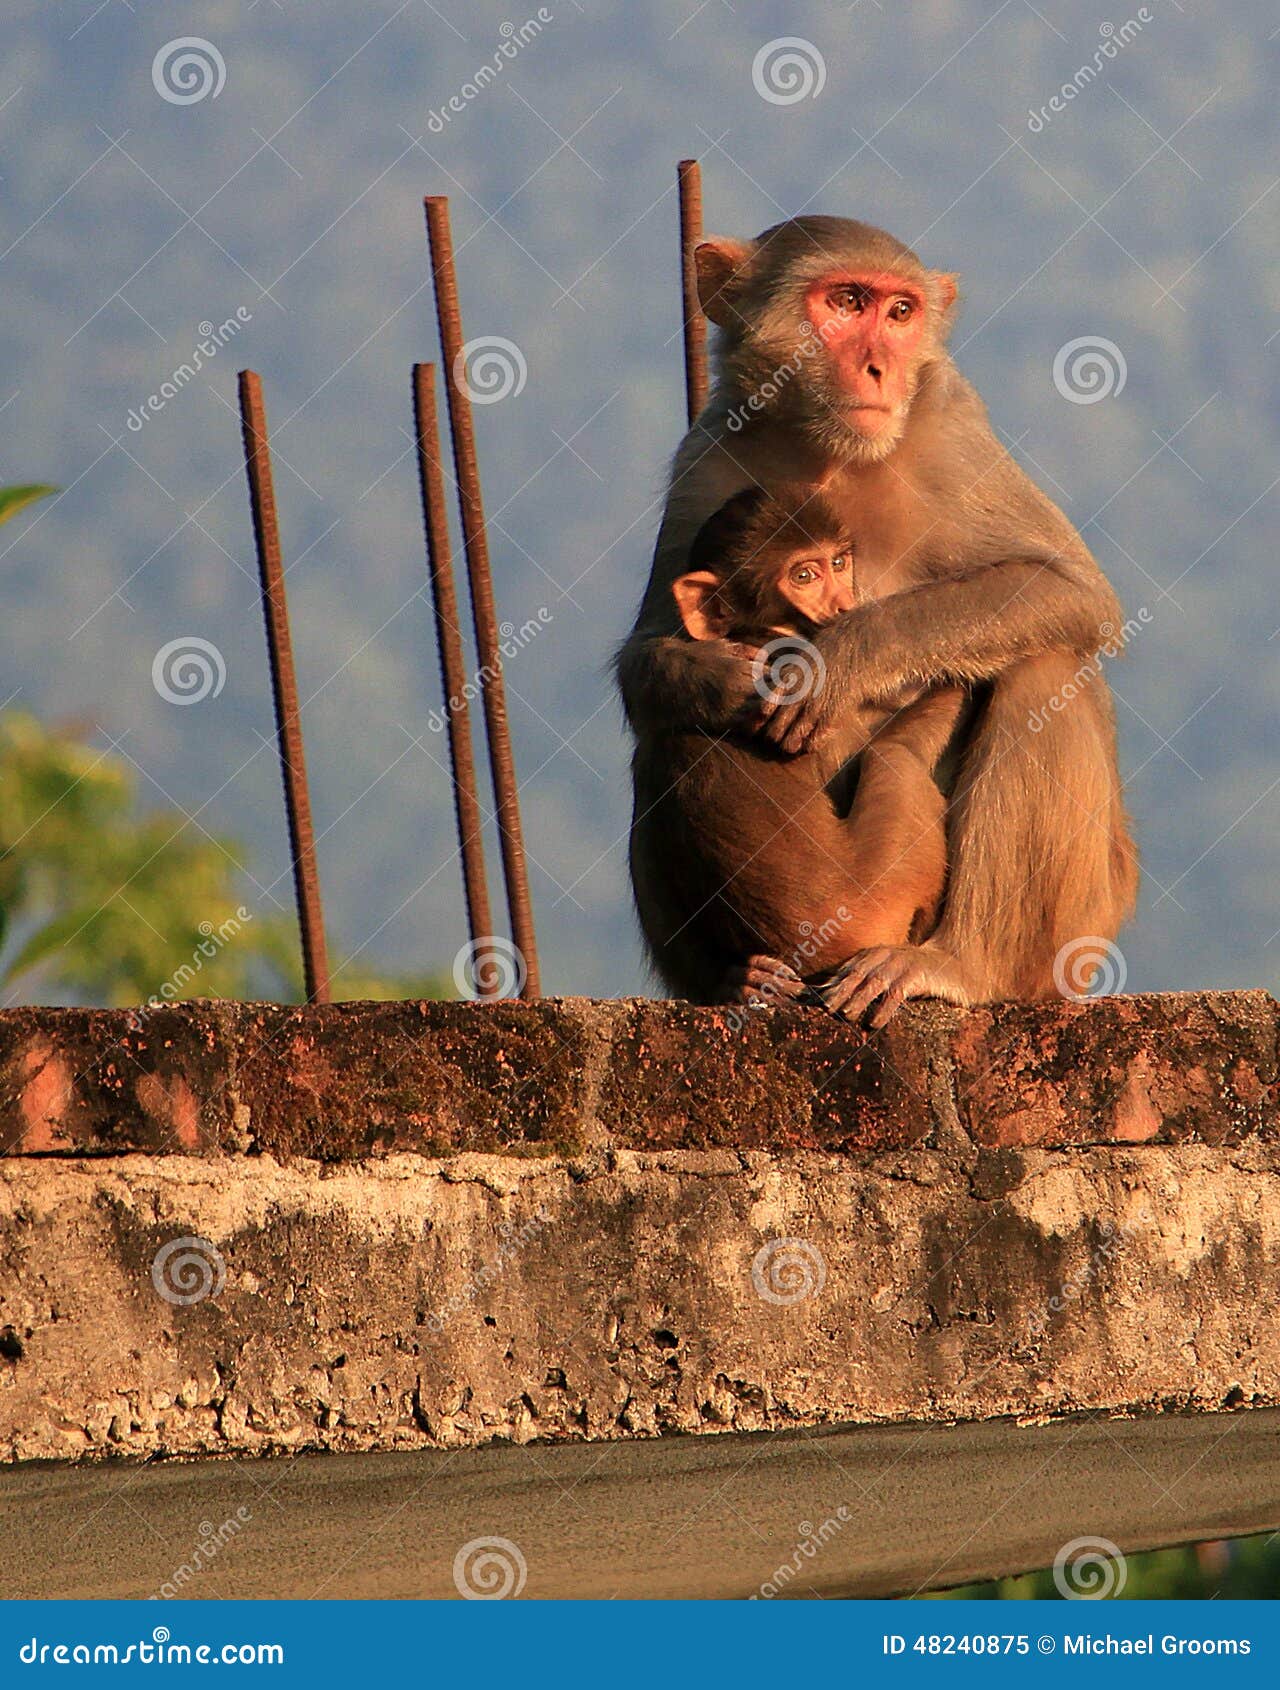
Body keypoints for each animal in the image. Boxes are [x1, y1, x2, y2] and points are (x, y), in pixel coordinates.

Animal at [628, 484, 967, 1014]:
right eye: (803, 576)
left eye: (838, 563)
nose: (843, 604)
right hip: (884, 885)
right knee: (894, 757)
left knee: (653, 751)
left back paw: (734, 982)